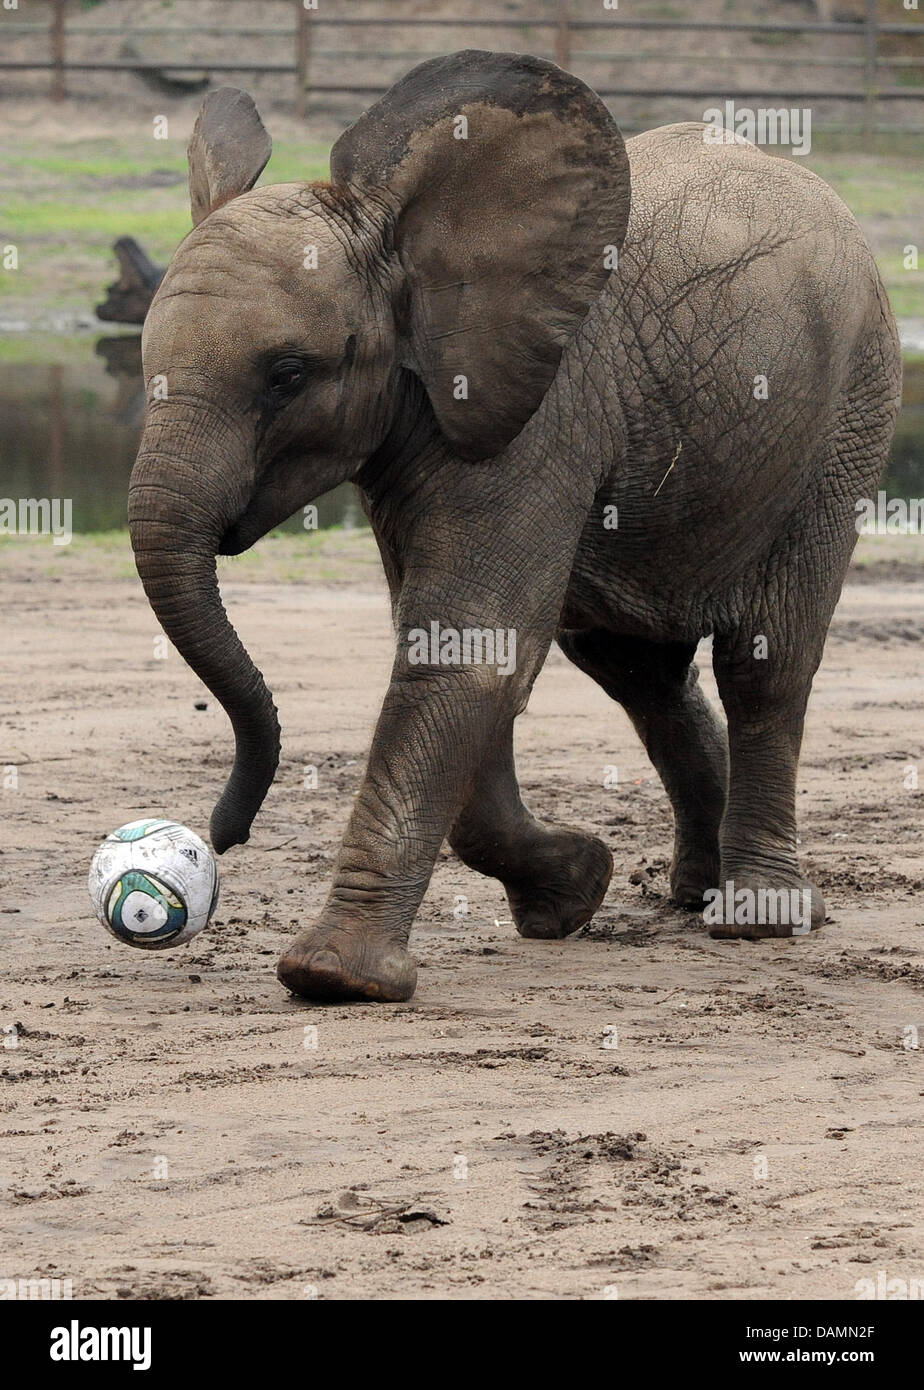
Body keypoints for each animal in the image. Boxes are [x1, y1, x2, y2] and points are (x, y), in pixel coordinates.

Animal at [127, 51, 902, 1003]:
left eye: (288, 373)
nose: (216, 837)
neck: (403, 241)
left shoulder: (543, 409)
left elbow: (468, 643)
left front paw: (334, 980)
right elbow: (468, 645)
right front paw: (572, 892)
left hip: (848, 416)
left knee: (766, 662)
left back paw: (758, 918)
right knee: (639, 673)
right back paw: (694, 892)